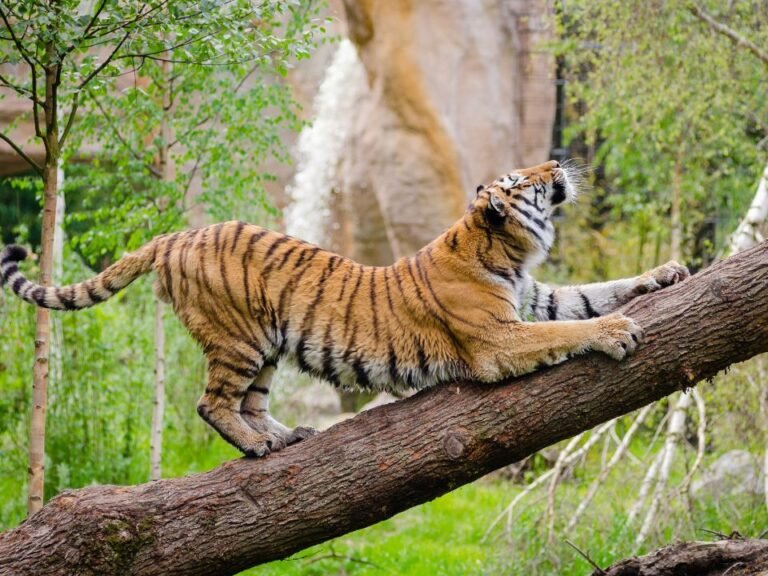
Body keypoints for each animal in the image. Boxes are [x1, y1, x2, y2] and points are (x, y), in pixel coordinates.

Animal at [0, 160, 689, 457]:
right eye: (525, 181)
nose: (557, 163)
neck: (508, 251)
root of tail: (176, 235)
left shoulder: (535, 299)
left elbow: (593, 292)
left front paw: (666, 272)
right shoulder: (497, 340)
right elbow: (577, 324)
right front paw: (619, 331)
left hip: (268, 348)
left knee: (252, 402)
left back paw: (283, 436)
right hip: (240, 339)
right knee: (211, 402)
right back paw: (256, 448)